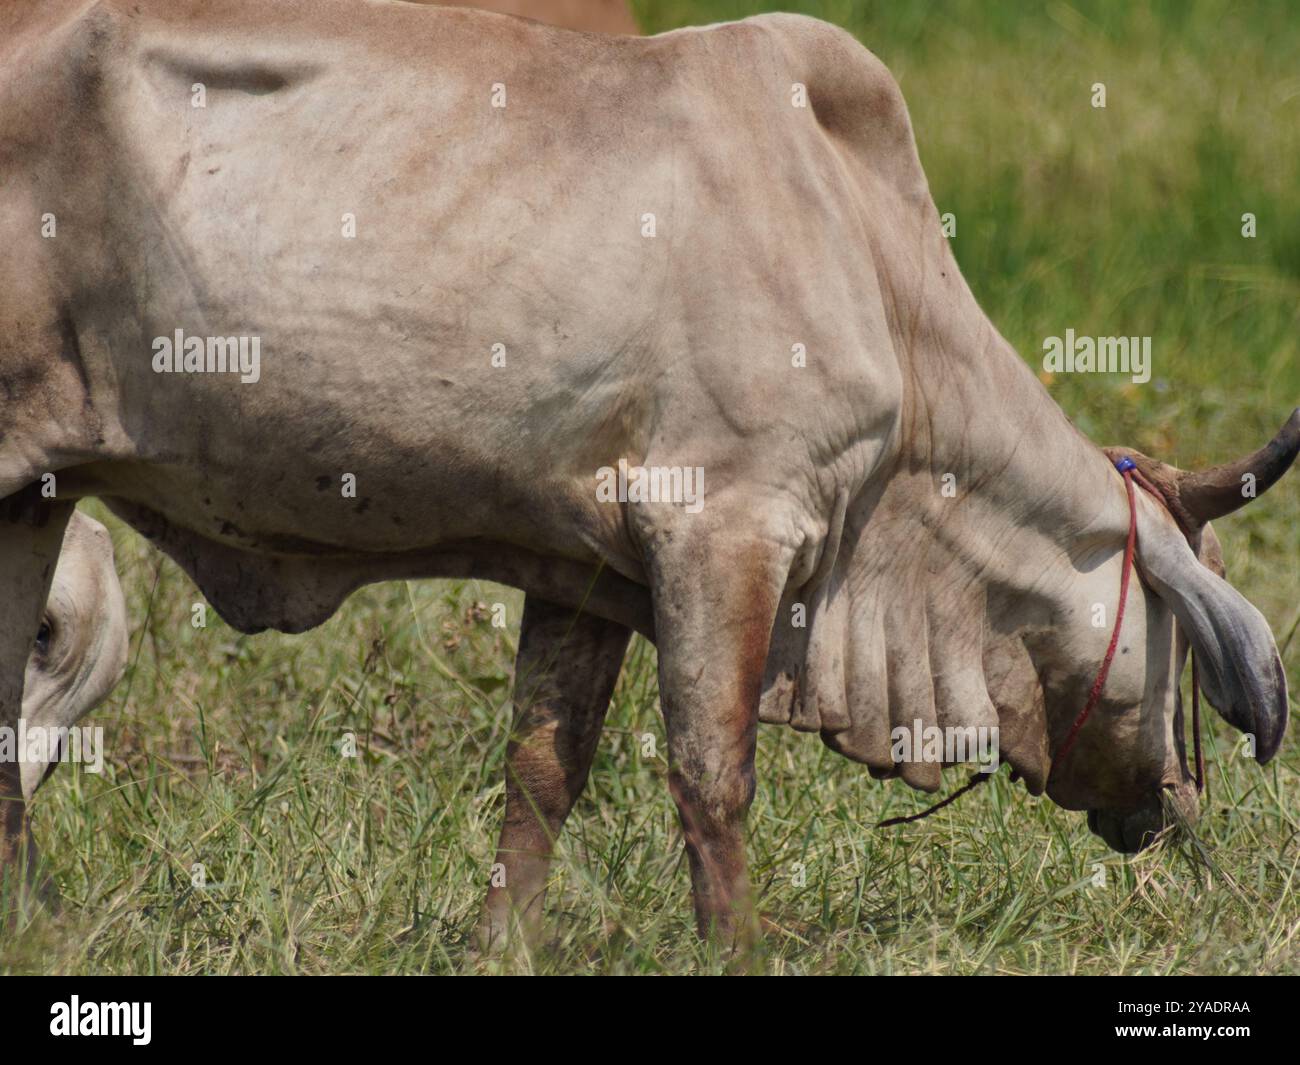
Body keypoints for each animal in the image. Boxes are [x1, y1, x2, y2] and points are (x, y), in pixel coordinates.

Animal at [1, 0, 1295, 955]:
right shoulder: (725, 532)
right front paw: (736, 948)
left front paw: (505, 946)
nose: (1176, 817)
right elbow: (711, 776)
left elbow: (541, 773)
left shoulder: (576, 567)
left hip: (34, 499)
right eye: (1181, 653)